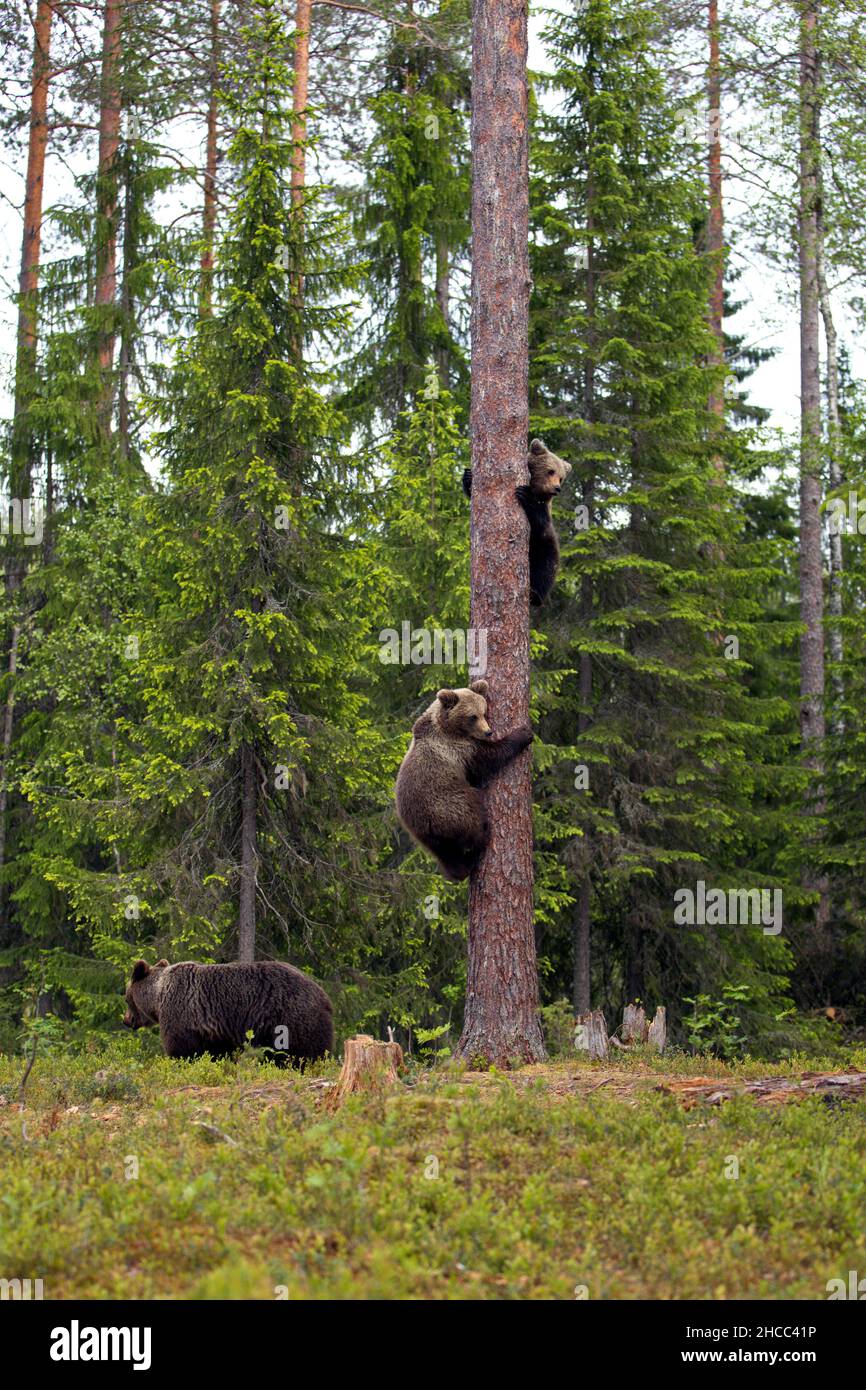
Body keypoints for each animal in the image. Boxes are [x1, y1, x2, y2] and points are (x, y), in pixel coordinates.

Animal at [123, 959, 334, 1066]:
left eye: (127, 998)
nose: (126, 1020)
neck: (158, 997)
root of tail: (324, 995)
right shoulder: (215, 1029)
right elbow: (217, 1052)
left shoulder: (180, 1013)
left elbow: (181, 1048)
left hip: (288, 1018)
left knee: (302, 1051)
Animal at [394, 680, 533, 881]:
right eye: (472, 716)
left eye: (484, 711)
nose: (488, 732)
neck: (448, 727)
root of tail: (428, 826)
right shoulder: (460, 748)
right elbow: (491, 757)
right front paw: (524, 733)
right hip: (451, 806)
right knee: (472, 822)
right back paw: (483, 837)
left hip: (425, 838)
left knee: (447, 856)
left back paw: (461, 869)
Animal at [462, 437, 572, 605]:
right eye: (551, 471)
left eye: (561, 477)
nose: (557, 488)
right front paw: (468, 477)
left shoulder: (543, 518)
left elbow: (539, 520)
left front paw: (525, 495)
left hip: (545, 546)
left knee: (545, 569)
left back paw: (535, 594)